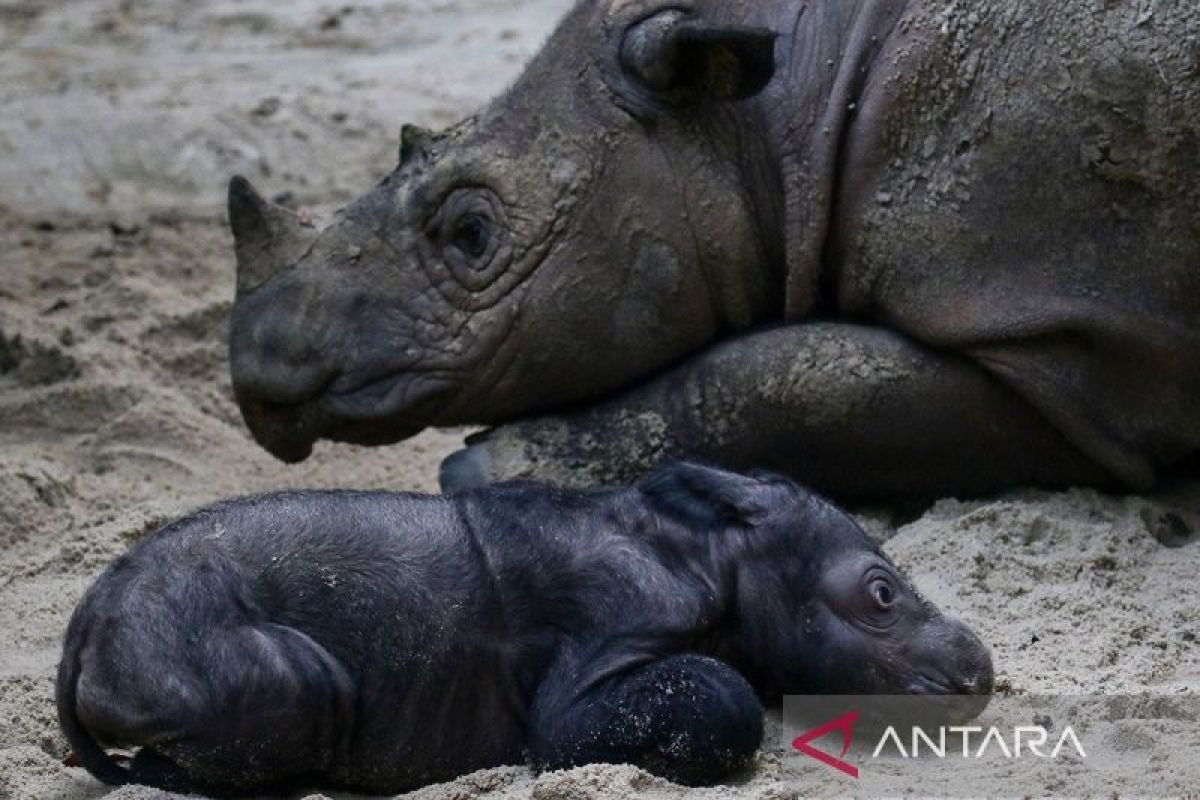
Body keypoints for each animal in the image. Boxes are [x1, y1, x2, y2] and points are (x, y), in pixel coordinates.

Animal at [228, 0, 1200, 500]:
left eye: (469, 235)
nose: (255, 374)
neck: (775, 112)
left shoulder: (1059, 338)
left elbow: (802, 384)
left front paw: (484, 467)